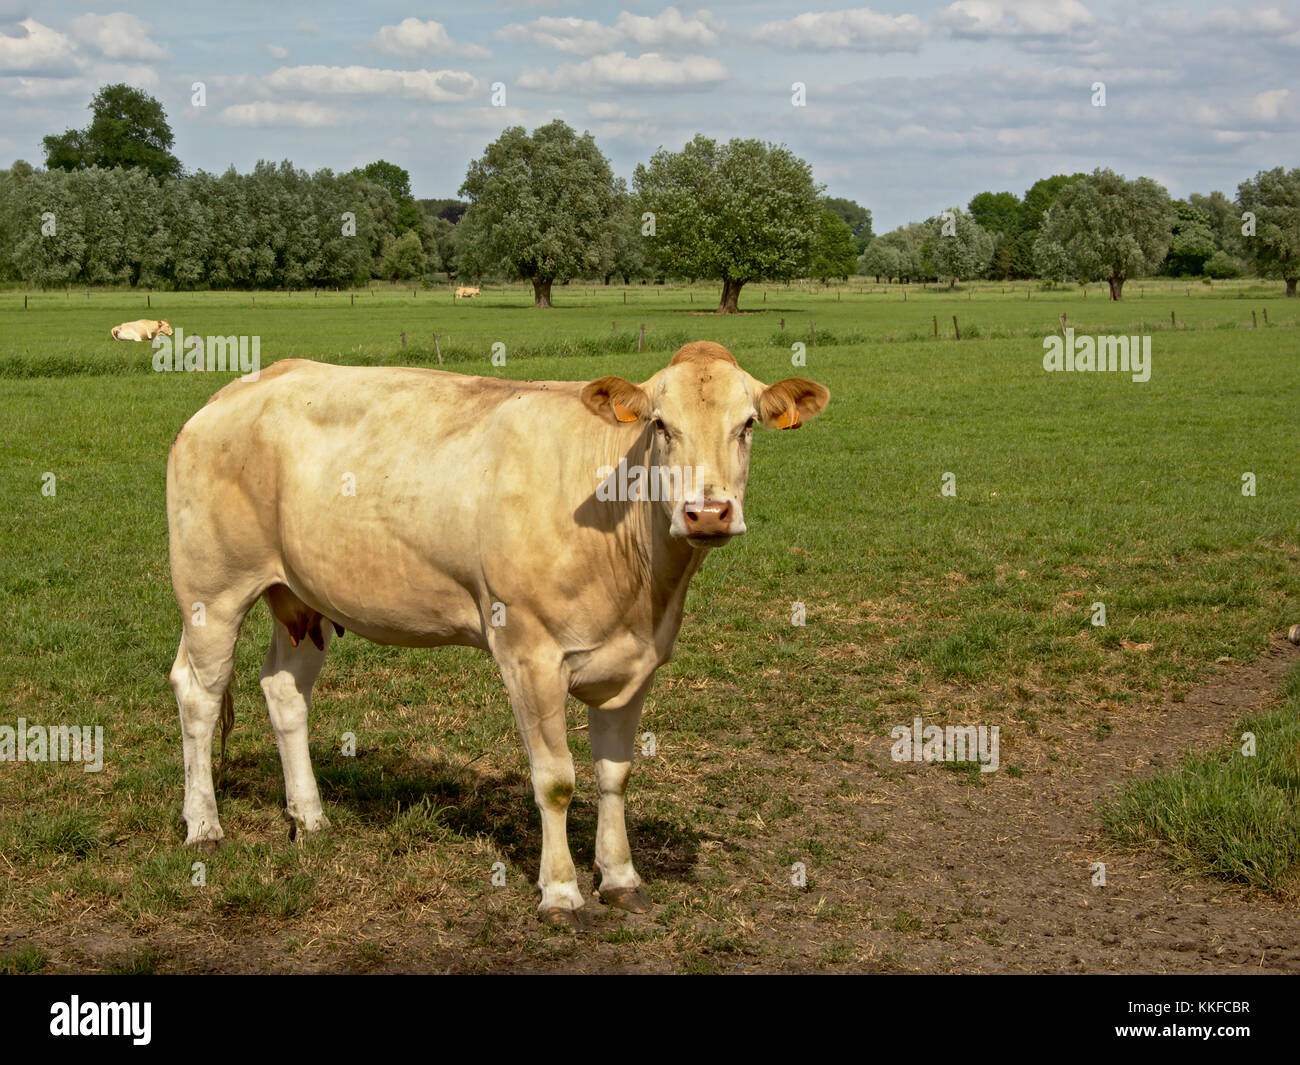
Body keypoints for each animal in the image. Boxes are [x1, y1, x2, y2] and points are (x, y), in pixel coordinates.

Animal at [165, 341, 829, 925]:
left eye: (748, 424)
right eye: (662, 425)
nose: (708, 512)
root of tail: (241, 387)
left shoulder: (637, 662)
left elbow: (615, 774)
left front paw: (620, 878)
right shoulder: (529, 654)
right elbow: (556, 781)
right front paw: (560, 893)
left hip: (301, 597)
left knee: (284, 690)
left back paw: (310, 818)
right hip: (212, 590)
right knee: (198, 694)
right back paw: (204, 826)